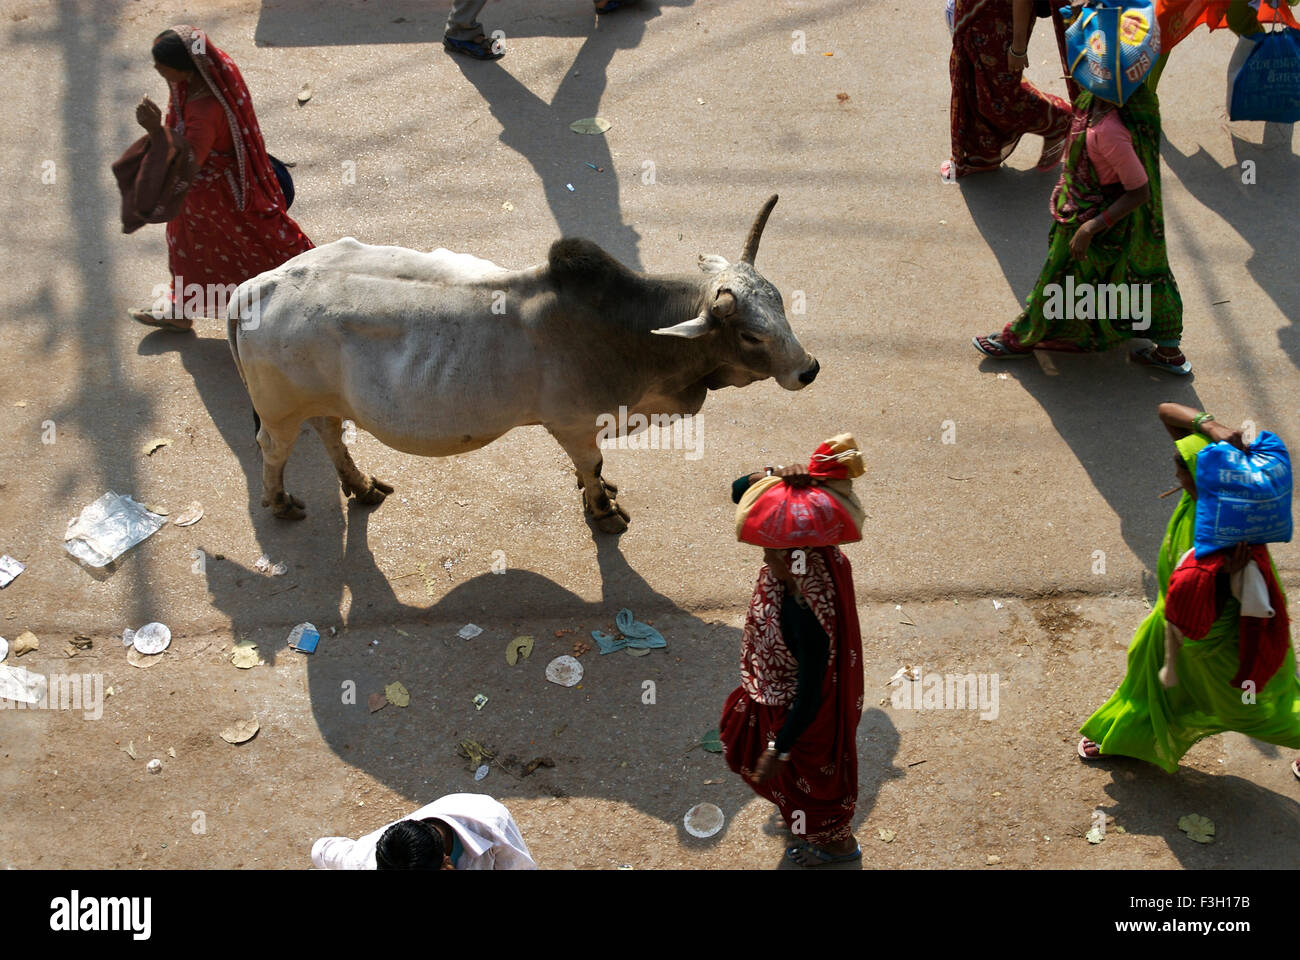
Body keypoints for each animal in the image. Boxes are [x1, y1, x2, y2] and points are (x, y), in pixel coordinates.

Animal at [226, 195, 818, 534]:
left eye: (781, 303)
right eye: (750, 334)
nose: (808, 369)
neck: (630, 334)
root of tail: (257, 285)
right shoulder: (573, 423)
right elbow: (592, 467)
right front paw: (603, 512)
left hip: (320, 400)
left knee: (329, 433)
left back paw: (361, 485)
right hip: (279, 412)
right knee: (273, 451)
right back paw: (280, 503)